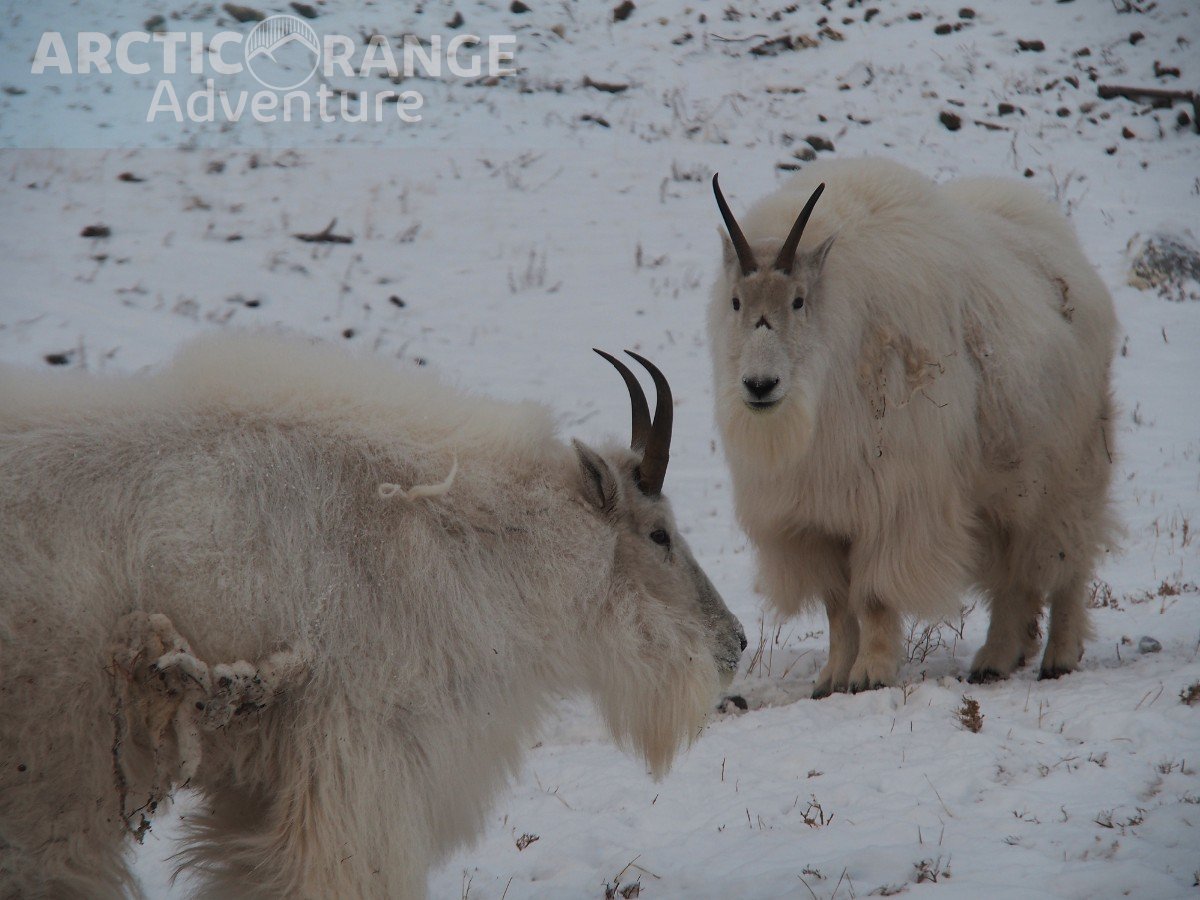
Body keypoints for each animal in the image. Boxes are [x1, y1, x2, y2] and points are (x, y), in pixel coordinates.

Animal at [0, 332, 745, 899]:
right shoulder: (361, 754)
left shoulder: (260, 784)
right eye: (659, 534)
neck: (462, 541)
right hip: (59, 761)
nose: (734, 642)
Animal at [708, 158, 1116, 696]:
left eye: (797, 300)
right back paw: (995, 660)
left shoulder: (894, 504)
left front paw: (869, 675)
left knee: (1068, 562)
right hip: (1000, 490)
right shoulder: (816, 520)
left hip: (1071, 473)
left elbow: (875, 595)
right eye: (736, 301)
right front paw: (830, 678)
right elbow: (838, 605)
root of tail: (1075, 265)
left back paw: (1059, 657)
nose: (759, 385)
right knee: (1012, 576)